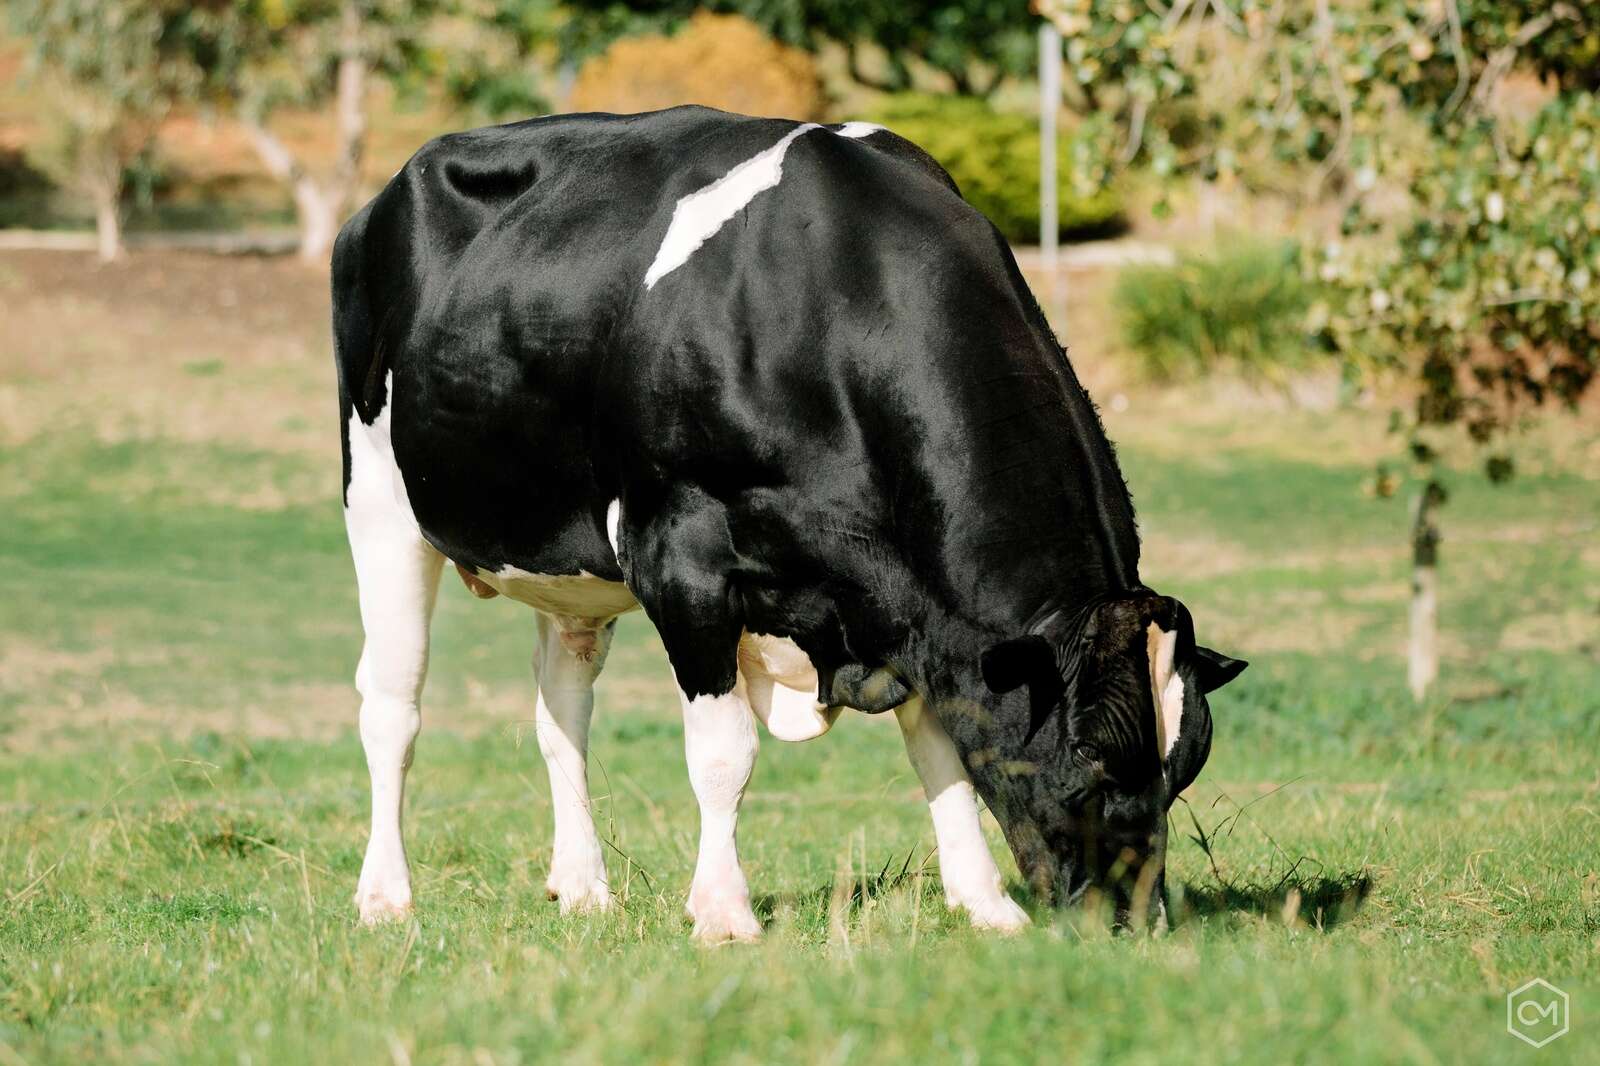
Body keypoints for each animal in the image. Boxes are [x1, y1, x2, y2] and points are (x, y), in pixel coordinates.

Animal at [333, 106, 1246, 943]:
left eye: (1183, 771)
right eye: (1091, 755)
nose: (1132, 922)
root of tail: (387, 191)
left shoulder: (909, 599)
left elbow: (942, 746)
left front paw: (984, 903)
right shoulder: (681, 557)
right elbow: (725, 753)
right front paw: (724, 913)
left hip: (570, 570)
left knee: (562, 713)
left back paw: (583, 887)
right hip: (379, 500)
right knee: (391, 708)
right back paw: (385, 898)